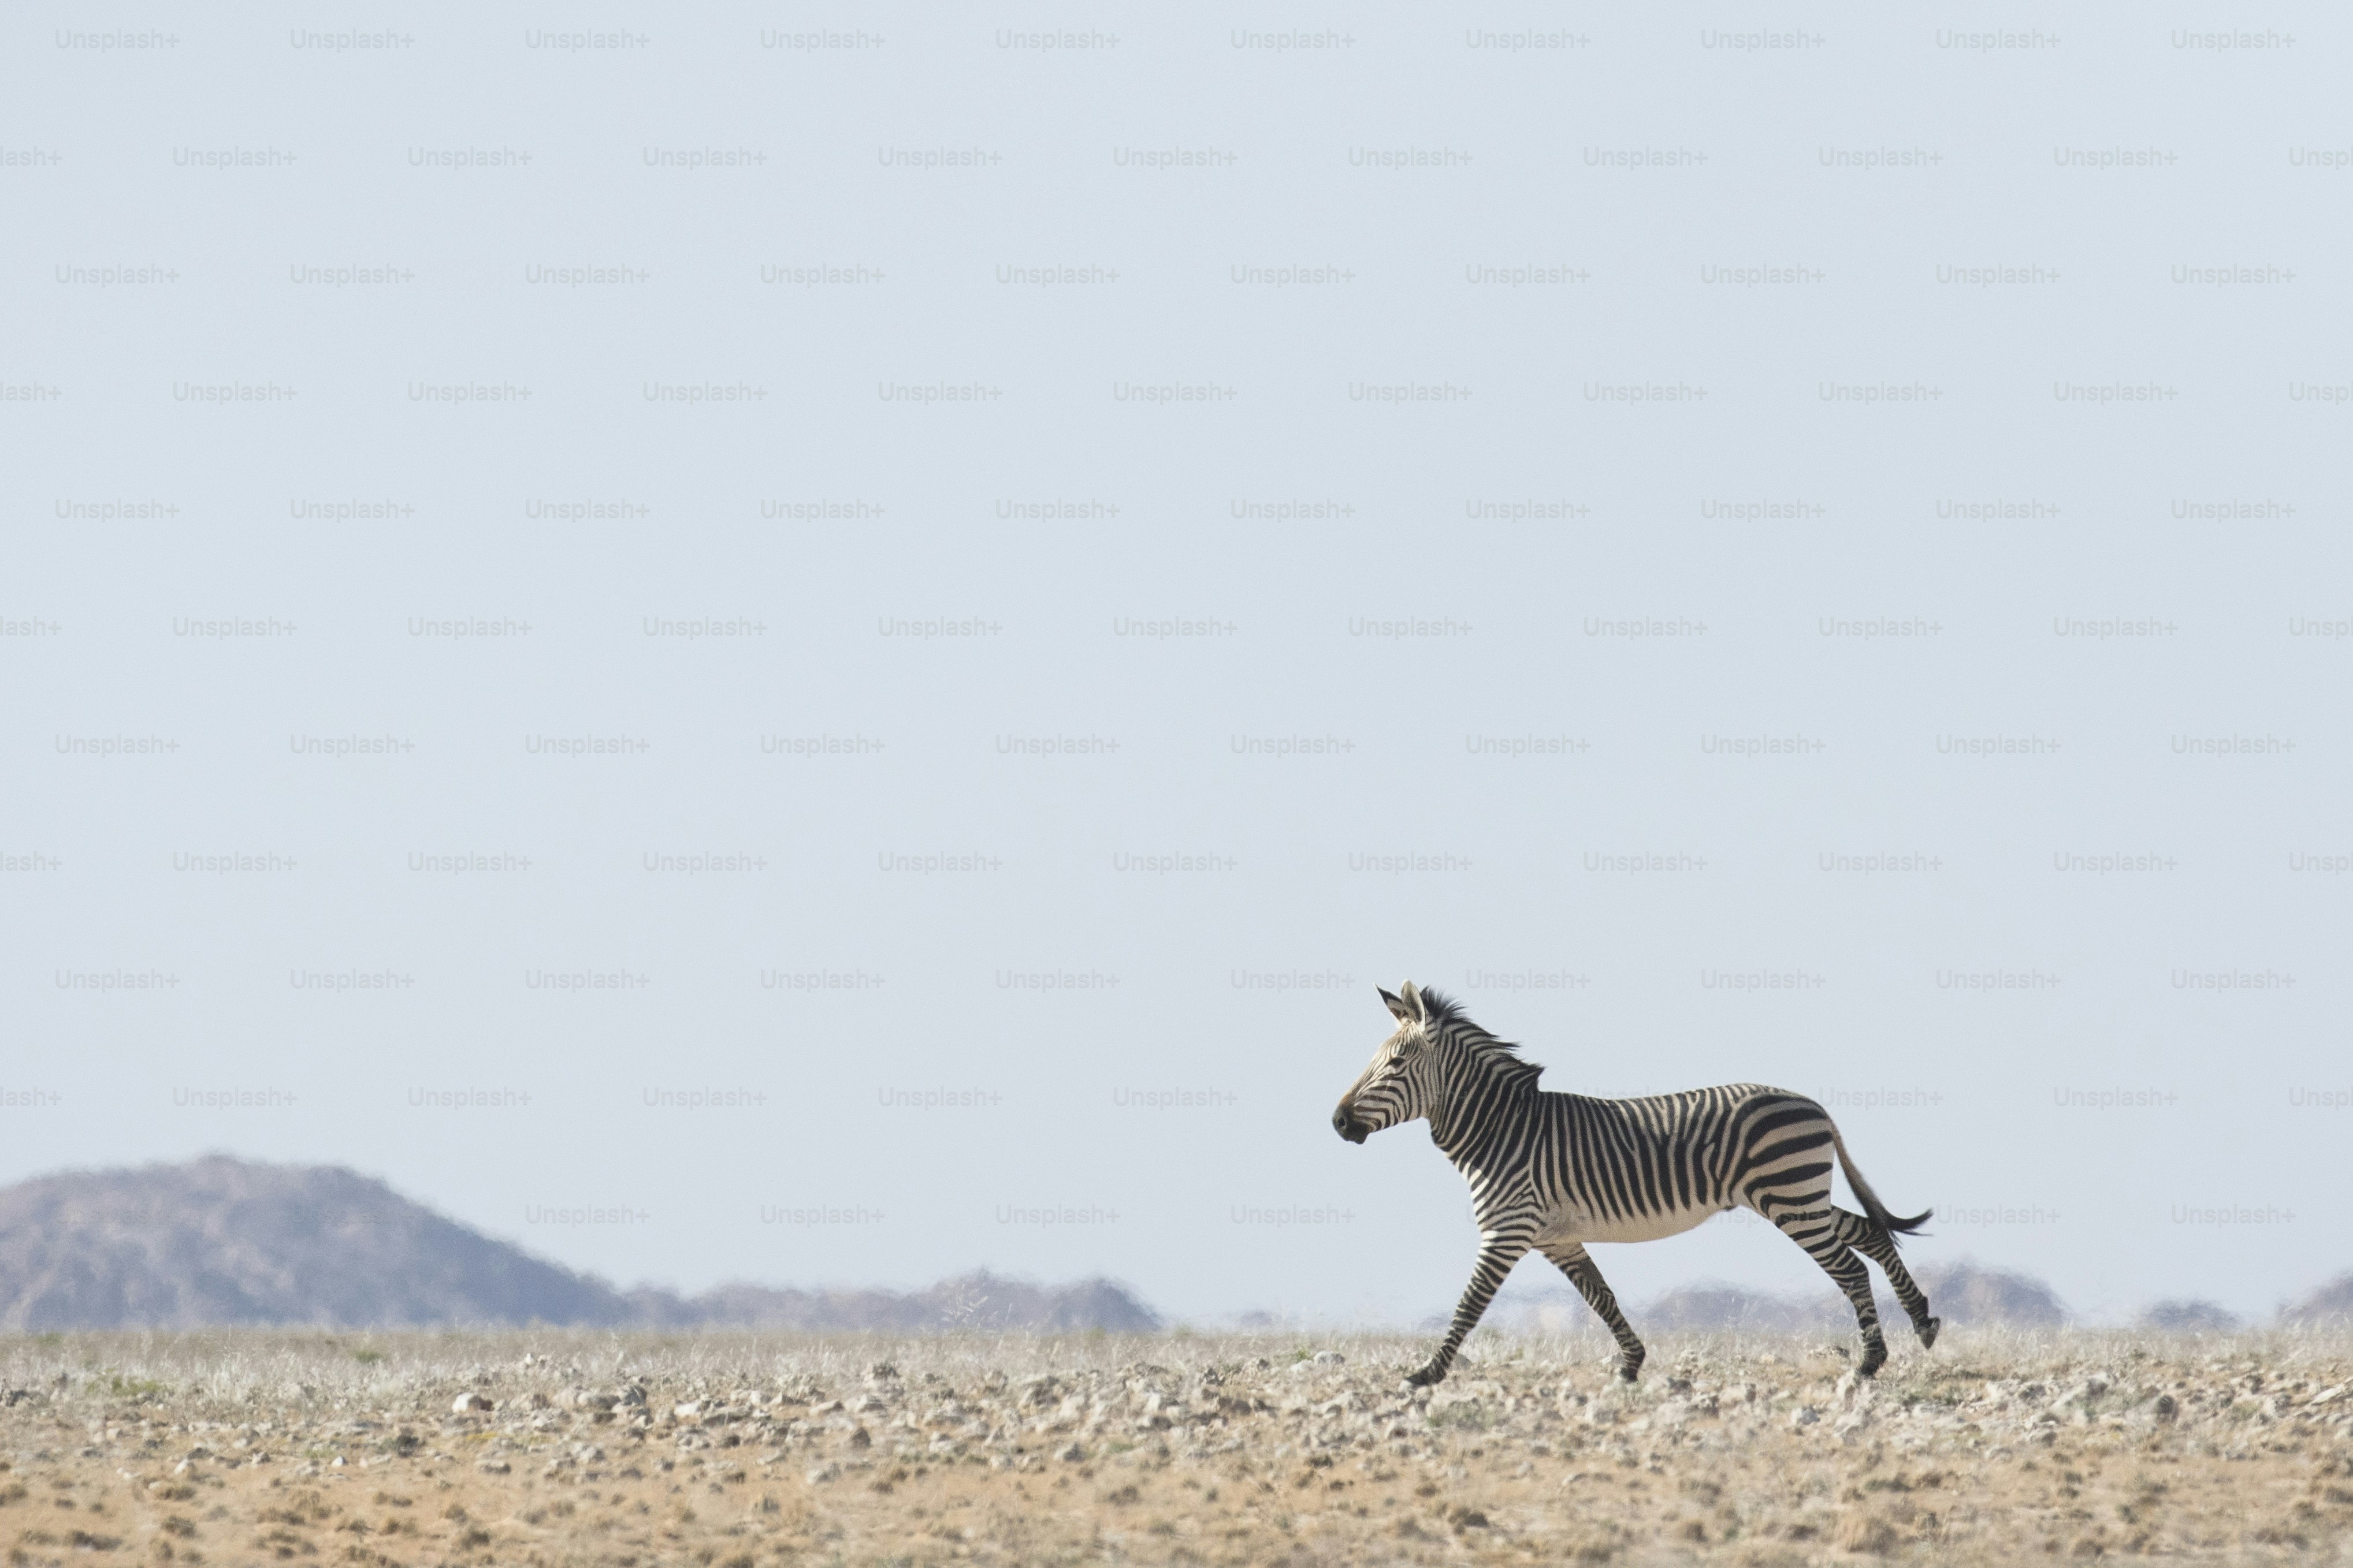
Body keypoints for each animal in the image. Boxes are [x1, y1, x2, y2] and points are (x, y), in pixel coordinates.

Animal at [1331, 981, 1939, 1386]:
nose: (1337, 1122)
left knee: (1850, 1266)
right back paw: (1923, 1321)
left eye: (1395, 1064)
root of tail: (1814, 1104)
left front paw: (1426, 1373)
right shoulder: (1555, 1237)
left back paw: (1870, 1362)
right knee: (1872, 1235)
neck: (1501, 1130)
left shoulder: (1508, 1231)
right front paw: (1630, 1364)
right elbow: (1599, 1295)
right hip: (1798, 1195)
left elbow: (1469, 1304)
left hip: (1789, 1197)